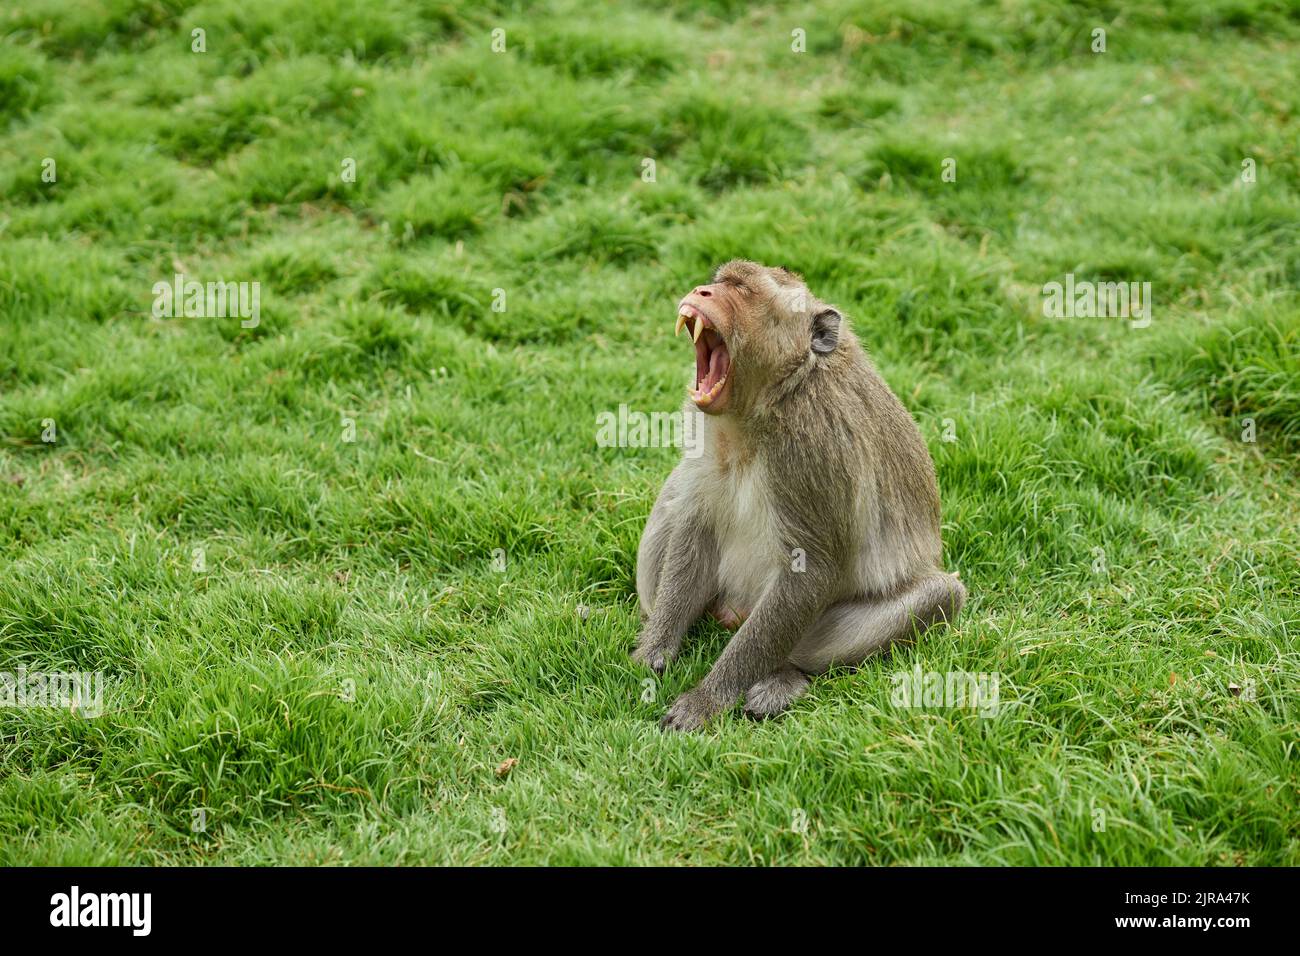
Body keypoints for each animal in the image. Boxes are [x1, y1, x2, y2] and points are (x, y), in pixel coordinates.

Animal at [633, 260, 966, 731]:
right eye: (720, 280)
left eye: (743, 291)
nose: (702, 291)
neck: (765, 404)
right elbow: (696, 522)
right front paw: (655, 649)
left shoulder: (813, 447)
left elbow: (811, 570)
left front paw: (706, 698)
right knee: (678, 488)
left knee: (940, 595)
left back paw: (784, 676)